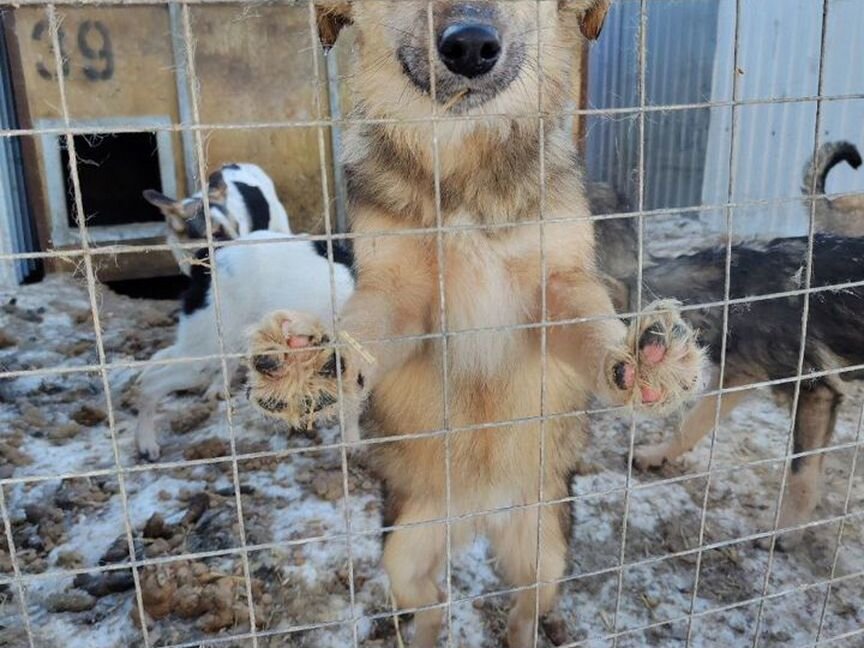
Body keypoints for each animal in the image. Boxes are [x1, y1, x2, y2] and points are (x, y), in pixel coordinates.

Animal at [241, 2, 704, 644]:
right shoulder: (402, 292)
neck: (464, 151)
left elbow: (591, 328)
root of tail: (481, 513)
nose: (470, 48)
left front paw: (644, 363)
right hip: (406, 548)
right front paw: (310, 365)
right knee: (432, 601)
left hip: (545, 548)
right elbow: (366, 328)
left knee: (523, 609)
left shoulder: (557, 284)